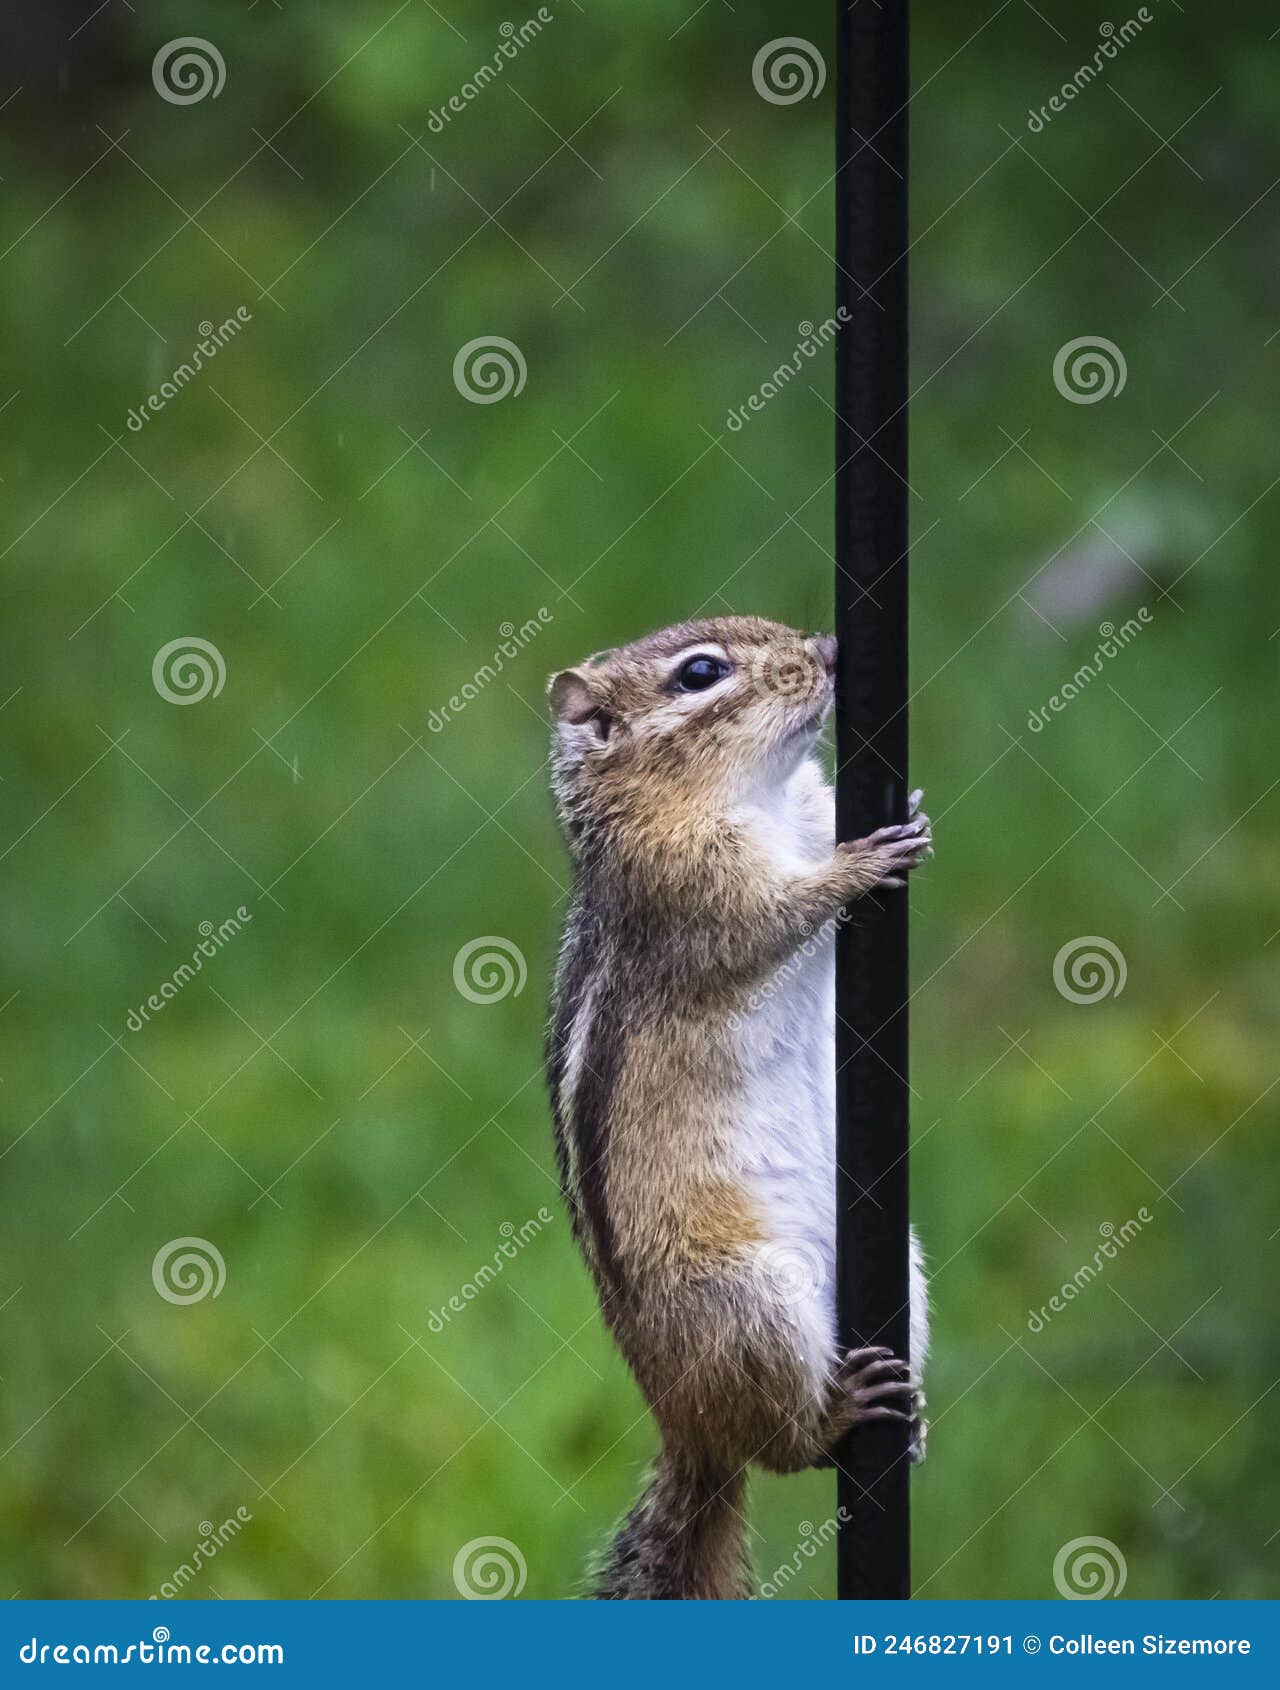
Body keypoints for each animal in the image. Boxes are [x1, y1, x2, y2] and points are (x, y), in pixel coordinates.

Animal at [545, 615, 931, 1601]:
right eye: (700, 674)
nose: (829, 650)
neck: (757, 796)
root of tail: (687, 1427)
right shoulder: (691, 884)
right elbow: (769, 915)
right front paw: (859, 865)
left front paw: (910, 814)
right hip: (744, 1306)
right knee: (785, 1448)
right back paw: (840, 1413)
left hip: (903, 1280)